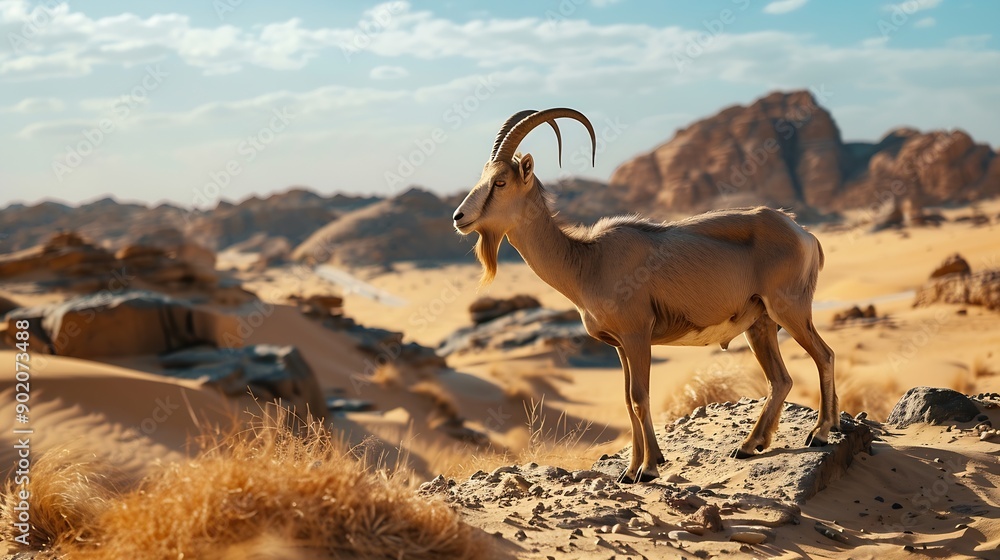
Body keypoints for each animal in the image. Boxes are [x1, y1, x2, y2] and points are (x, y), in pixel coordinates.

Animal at [452, 108, 838, 483]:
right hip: (761, 325)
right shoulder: (621, 345)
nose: (459, 217)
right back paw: (749, 445)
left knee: (824, 355)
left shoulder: (638, 336)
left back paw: (819, 434)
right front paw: (630, 470)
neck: (588, 260)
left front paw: (649, 468)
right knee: (781, 380)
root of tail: (803, 233)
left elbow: (639, 398)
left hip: (790, 311)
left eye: (500, 182)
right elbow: (626, 400)